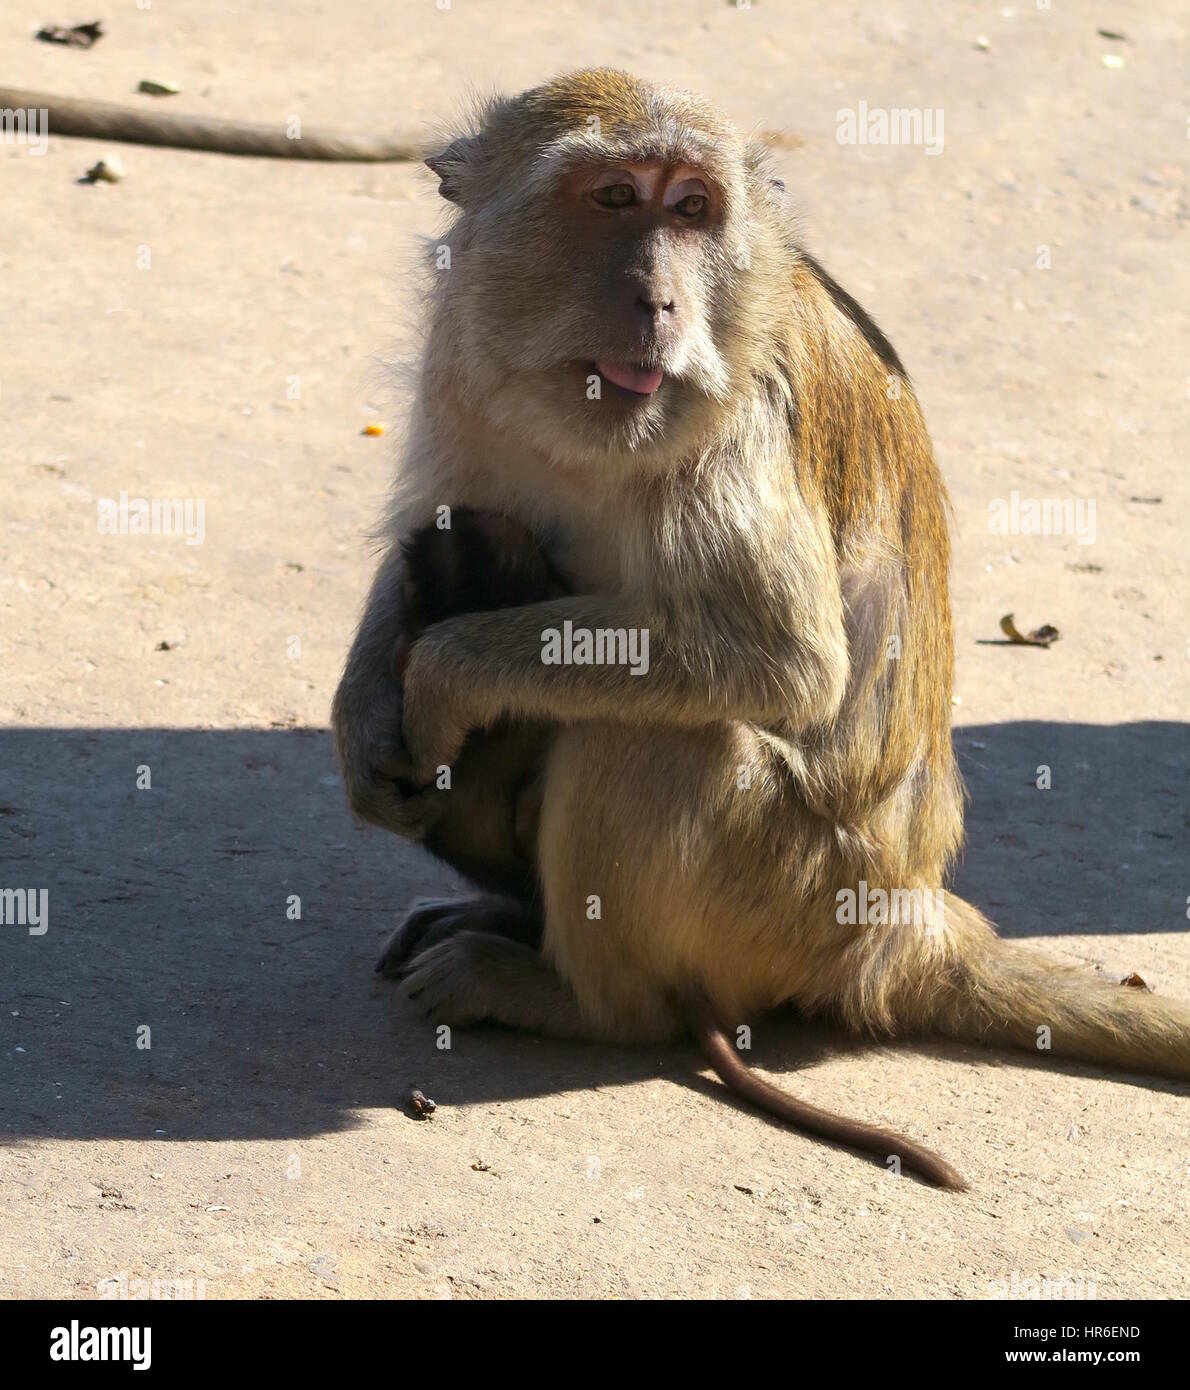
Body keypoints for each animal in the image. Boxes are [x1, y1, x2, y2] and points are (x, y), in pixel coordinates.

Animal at [332, 69, 1190, 1191]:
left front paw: (437, 679)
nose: (658, 301)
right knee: (467, 553)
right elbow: (419, 532)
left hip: (792, 898)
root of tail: (904, 924)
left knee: (647, 735)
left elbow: (782, 662)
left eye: (693, 208)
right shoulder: (462, 367)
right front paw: (360, 712)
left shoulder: (738, 418)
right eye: (616, 198)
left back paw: (583, 1002)